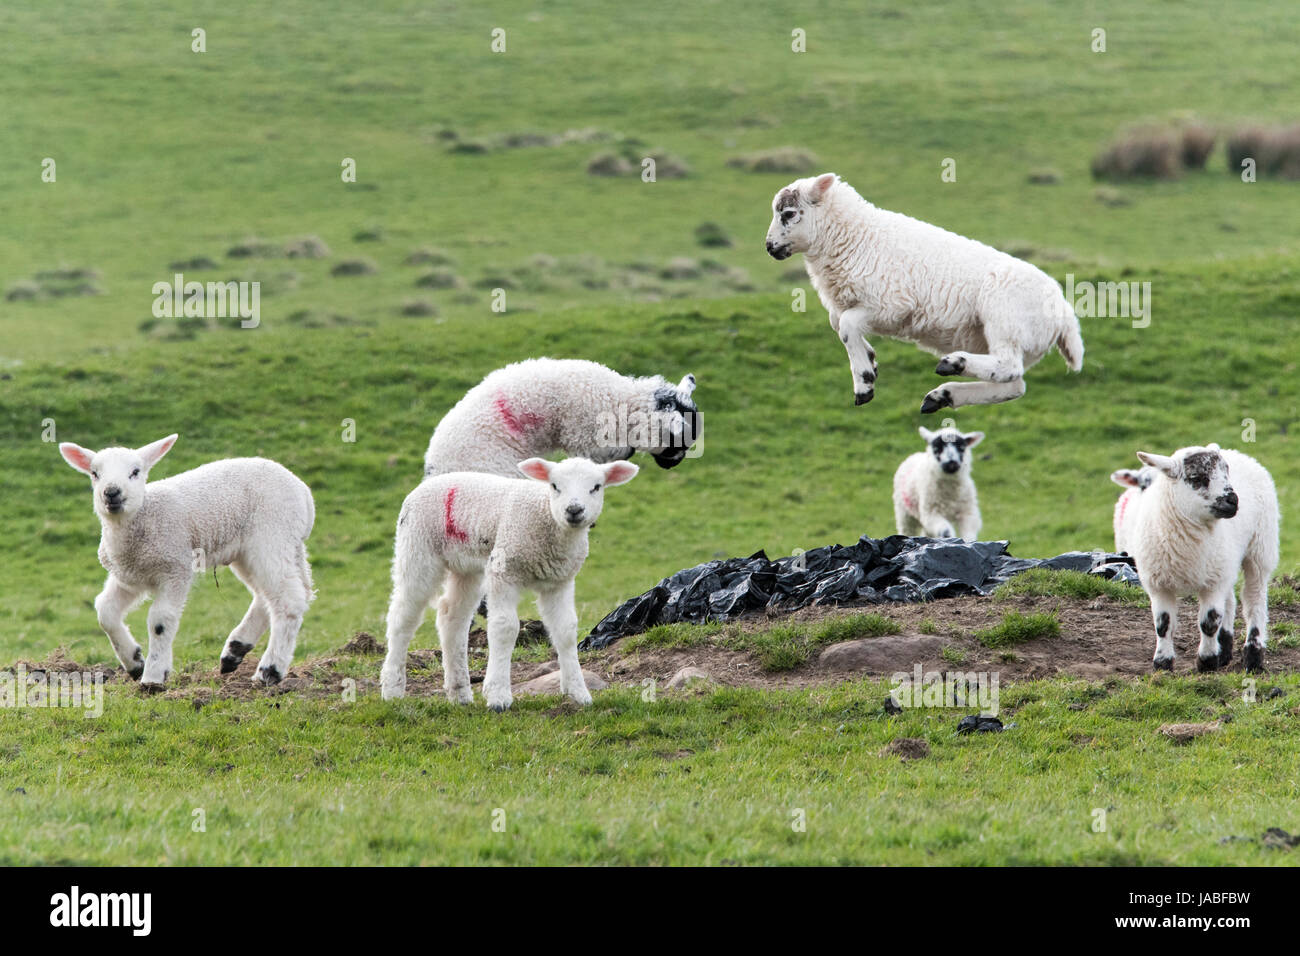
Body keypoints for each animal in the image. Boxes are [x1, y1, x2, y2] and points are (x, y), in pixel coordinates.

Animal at [58, 435, 315, 688]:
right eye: (95, 473)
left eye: (135, 472)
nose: (111, 492)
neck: (143, 518)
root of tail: (304, 493)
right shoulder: (129, 576)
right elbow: (106, 612)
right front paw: (135, 663)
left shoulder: (175, 568)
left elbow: (160, 620)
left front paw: (153, 677)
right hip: (253, 550)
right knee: (268, 595)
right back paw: (235, 651)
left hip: (272, 535)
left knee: (288, 599)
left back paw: (269, 671)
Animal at [381, 456, 638, 710]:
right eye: (555, 486)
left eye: (596, 487)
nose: (574, 510)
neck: (546, 516)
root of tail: (423, 486)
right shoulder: (503, 570)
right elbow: (505, 627)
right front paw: (498, 696)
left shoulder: (559, 581)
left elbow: (565, 630)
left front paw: (579, 692)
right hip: (417, 549)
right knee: (403, 617)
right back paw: (392, 688)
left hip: (466, 567)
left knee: (451, 617)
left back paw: (459, 693)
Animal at [764, 173, 1084, 412]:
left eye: (788, 213)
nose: (769, 247)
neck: (855, 237)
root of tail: (1064, 312)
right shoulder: (856, 305)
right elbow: (838, 323)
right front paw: (870, 360)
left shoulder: (891, 305)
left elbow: (845, 325)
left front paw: (864, 382)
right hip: (1013, 339)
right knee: (1014, 385)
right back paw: (942, 396)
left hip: (1005, 320)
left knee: (1008, 366)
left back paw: (953, 364)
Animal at [1127, 444, 1279, 673]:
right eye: (1197, 478)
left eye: (1226, 473)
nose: (1233, 501)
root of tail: (1240, 454)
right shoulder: (1158, 585)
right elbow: (1163, 624)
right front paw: (1162, 663)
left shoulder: (1213, 583)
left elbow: (1209, 622)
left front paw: (1206, 662)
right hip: (1224, 562)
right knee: (1230, 600)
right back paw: (1224, 650)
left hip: (1260, 549)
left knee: (1254, 599)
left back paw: (1253, 656)